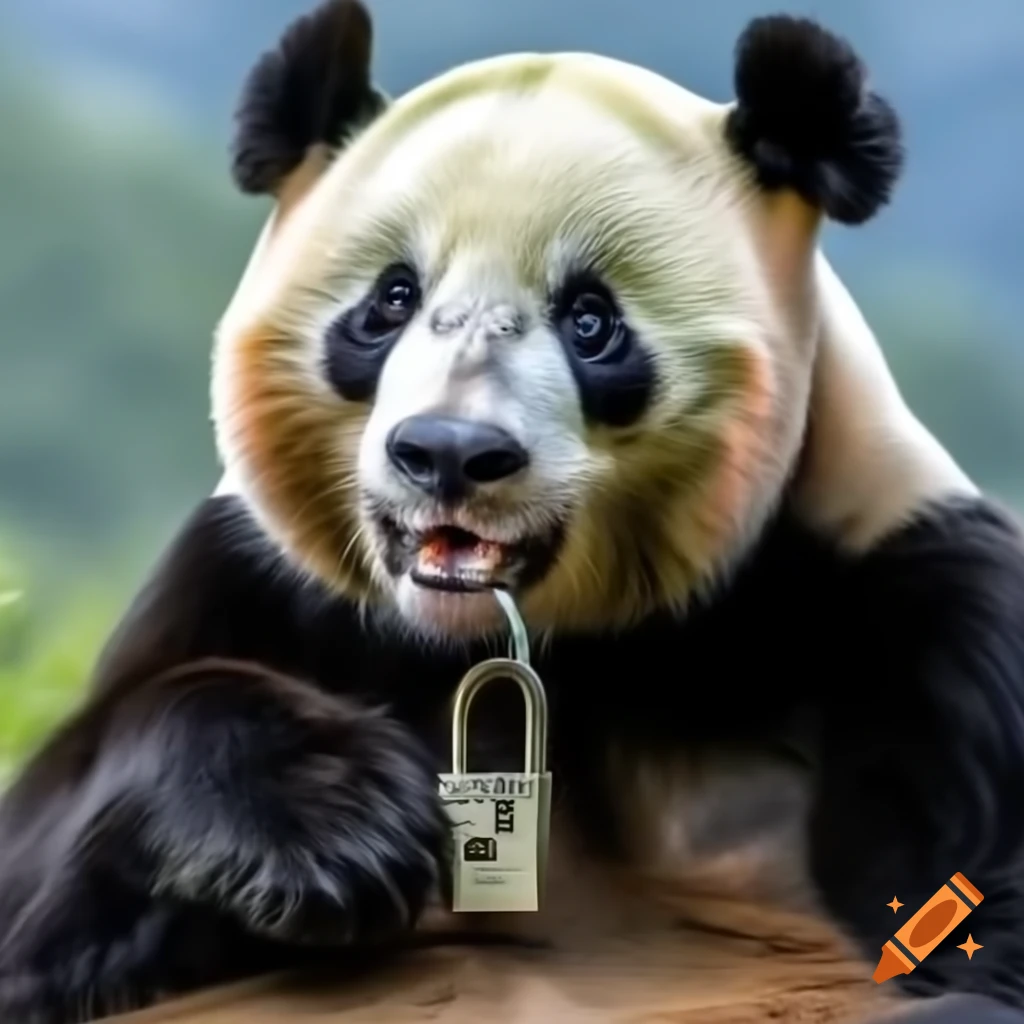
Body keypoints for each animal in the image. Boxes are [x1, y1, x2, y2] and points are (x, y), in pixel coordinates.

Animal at [2, 2, 1024, 1022]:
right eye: (392, 300)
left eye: (590, 320)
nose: (449, 452)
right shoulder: (251, 577)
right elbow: (41, 871)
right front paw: (339, 822)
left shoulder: (922, 598)